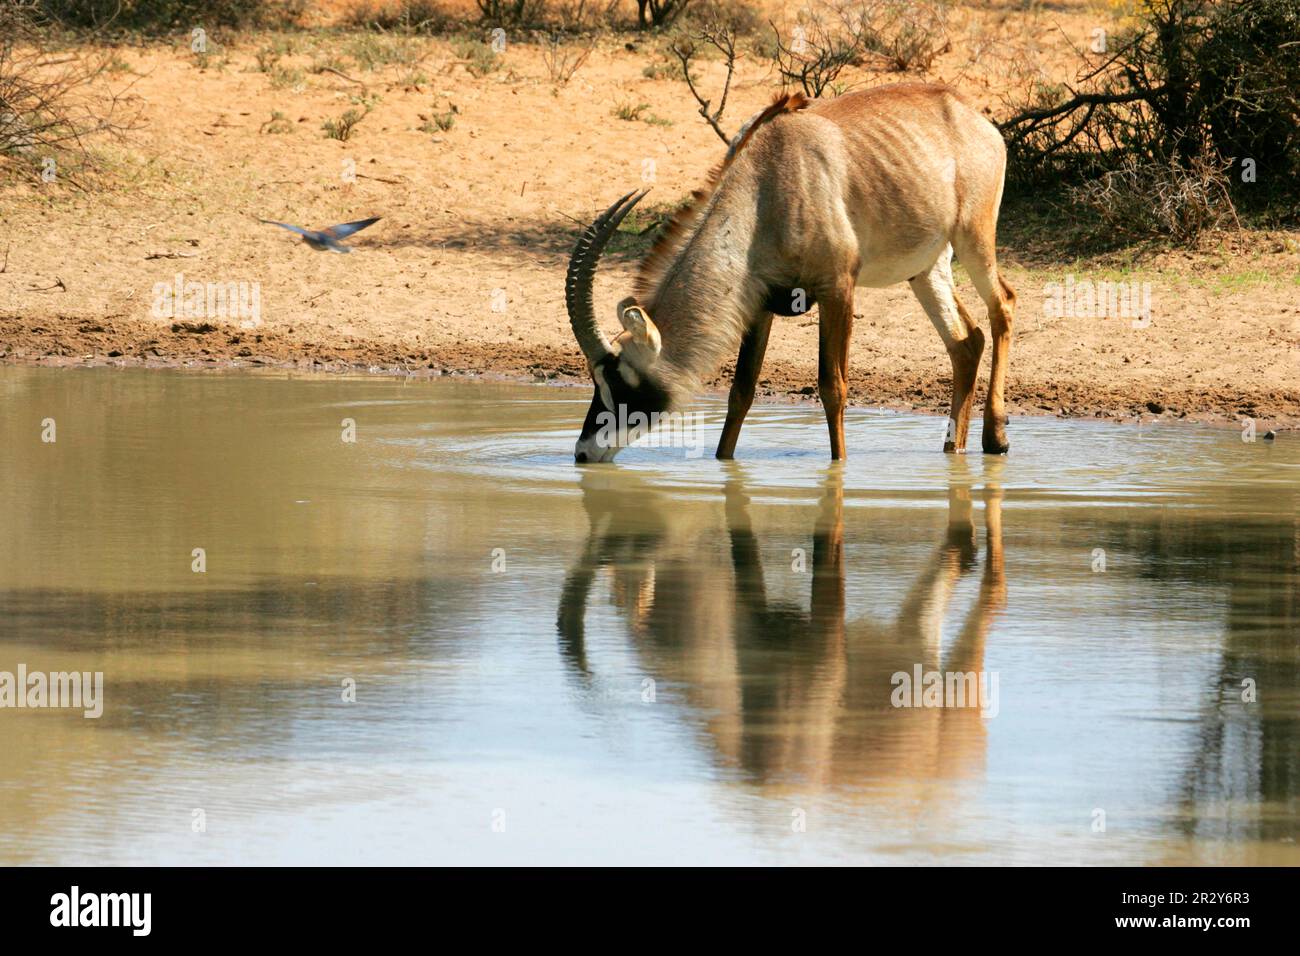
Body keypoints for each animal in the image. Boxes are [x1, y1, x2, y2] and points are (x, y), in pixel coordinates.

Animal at [565, 83, 1016, 463]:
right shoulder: (761, 303)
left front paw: (839, 466)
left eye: (617, 378)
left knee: (1003, 305)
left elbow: (833, 387)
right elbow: (741, 391)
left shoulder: (838, 288)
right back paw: (953, 449)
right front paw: (723, 462)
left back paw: (995, 439)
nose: (583, 452)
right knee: (966, 342)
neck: (766, 185)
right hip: (925, 269)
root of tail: (976, 119)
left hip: (974, 238)